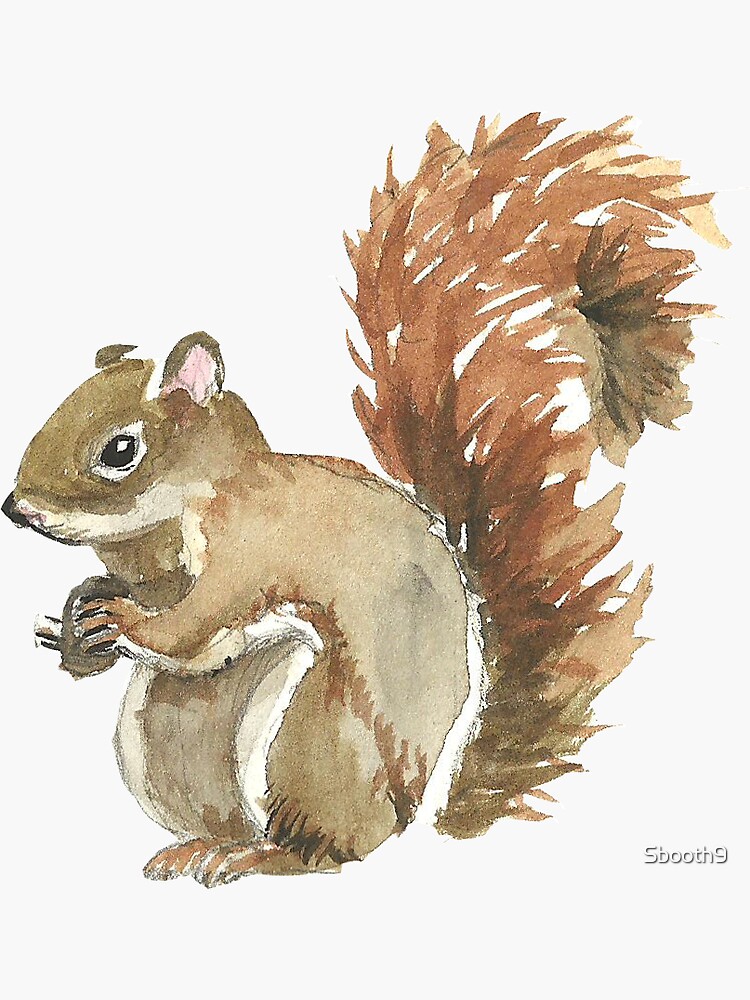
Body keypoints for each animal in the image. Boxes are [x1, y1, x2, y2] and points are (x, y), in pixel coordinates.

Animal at [3, 113, 724, 886]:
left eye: (120, 450)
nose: (16, 509)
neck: (165, 523)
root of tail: (409, 813)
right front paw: (76, 626)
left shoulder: (252, 547)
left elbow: (195, 629)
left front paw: (122, 620)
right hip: (165, 743)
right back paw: (197, 848)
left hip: (312, 741)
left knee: (322, 851)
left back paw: (259, 855)